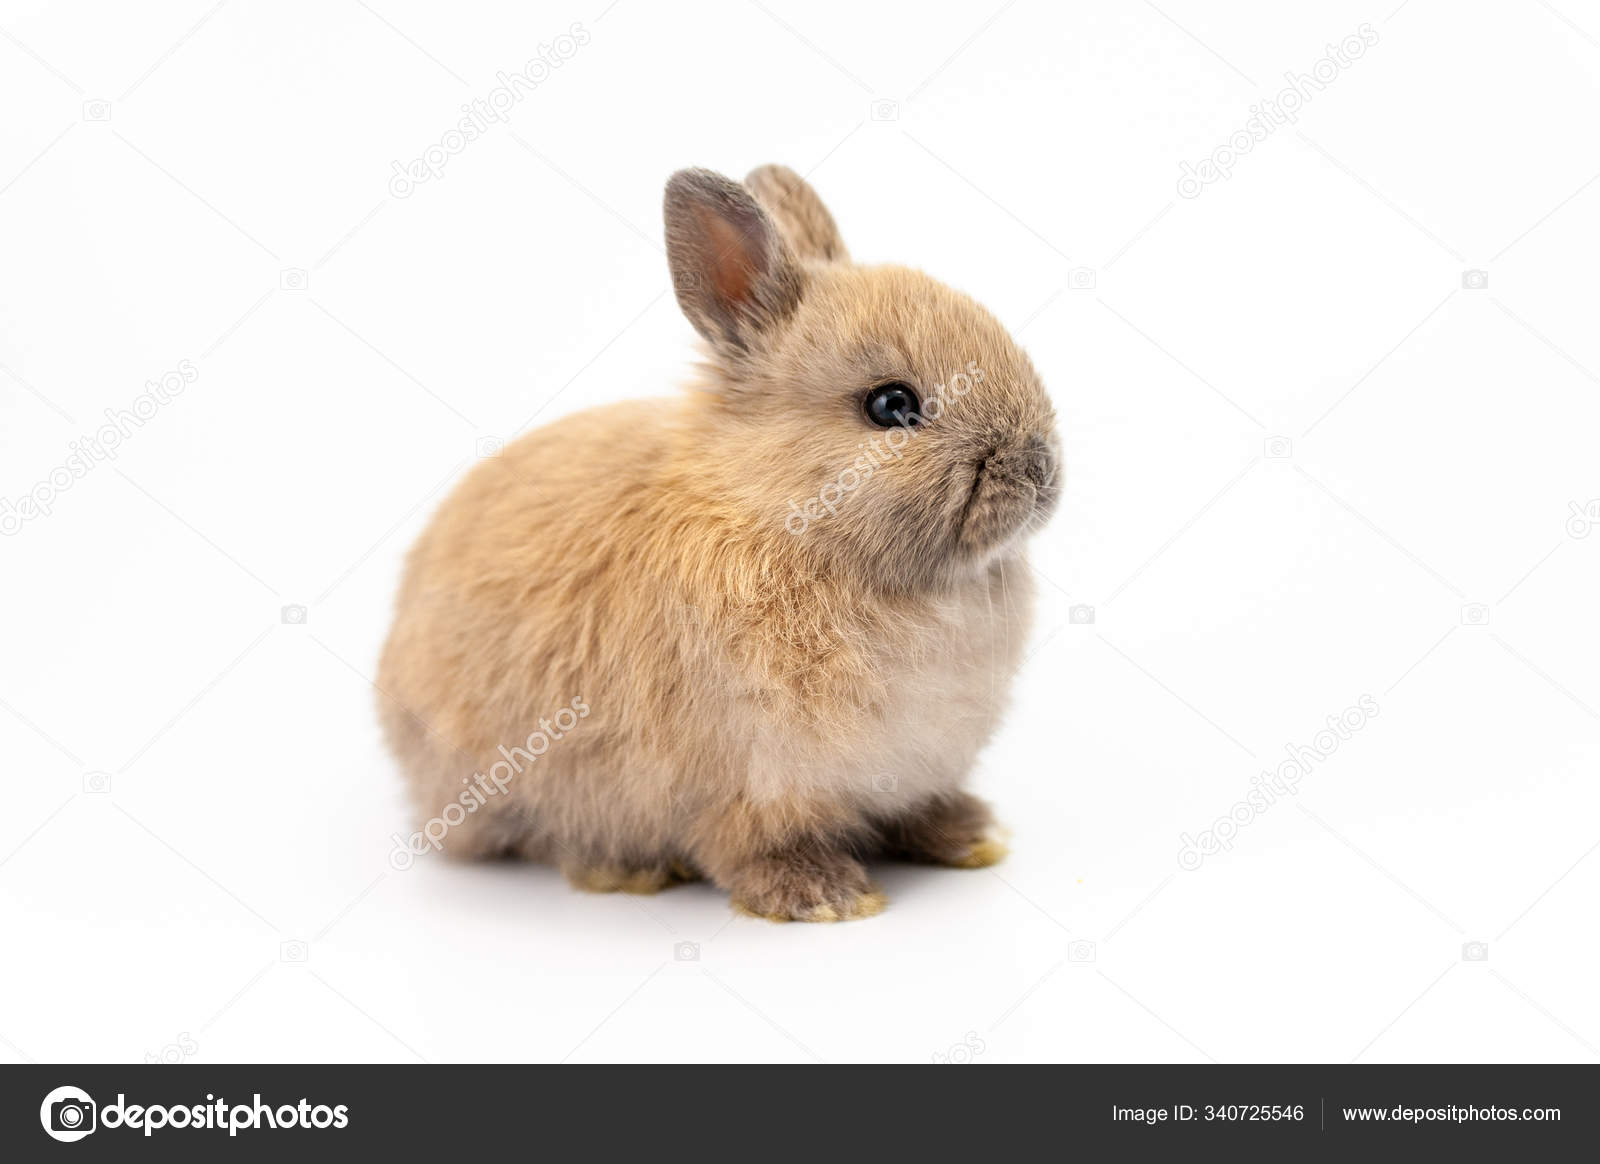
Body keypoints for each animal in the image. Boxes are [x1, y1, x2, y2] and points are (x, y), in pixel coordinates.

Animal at [376, 162, 1060, 921]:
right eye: (892, 406)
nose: (1039, 468)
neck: (788, 521)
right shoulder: (746, 783)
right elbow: (747, 846)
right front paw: (823, 895)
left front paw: (973, 834)